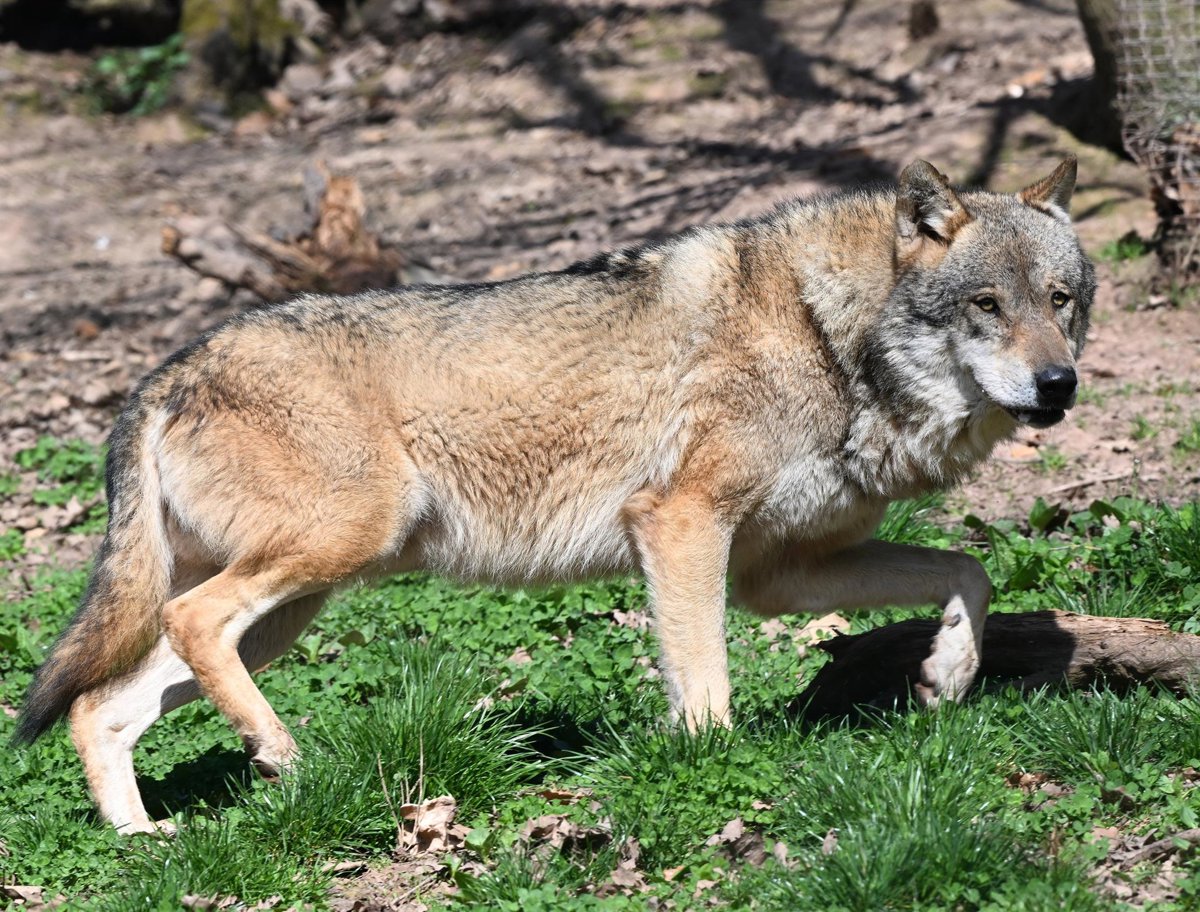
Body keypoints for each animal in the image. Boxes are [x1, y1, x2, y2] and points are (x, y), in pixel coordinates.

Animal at [15, 157, 1093, 833]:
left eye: (1061, 300)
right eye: (986, 305)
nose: (1059, 386)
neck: (832, 337)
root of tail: (166, 372)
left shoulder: (779, 575)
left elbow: (969, 569)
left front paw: (949, 675)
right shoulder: (681, 524)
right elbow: (706, 690)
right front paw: (712, 773)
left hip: (295, 603)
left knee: (99, 707)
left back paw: (144, 841)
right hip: (327, 556)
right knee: (190, 627)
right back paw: (283, 754)